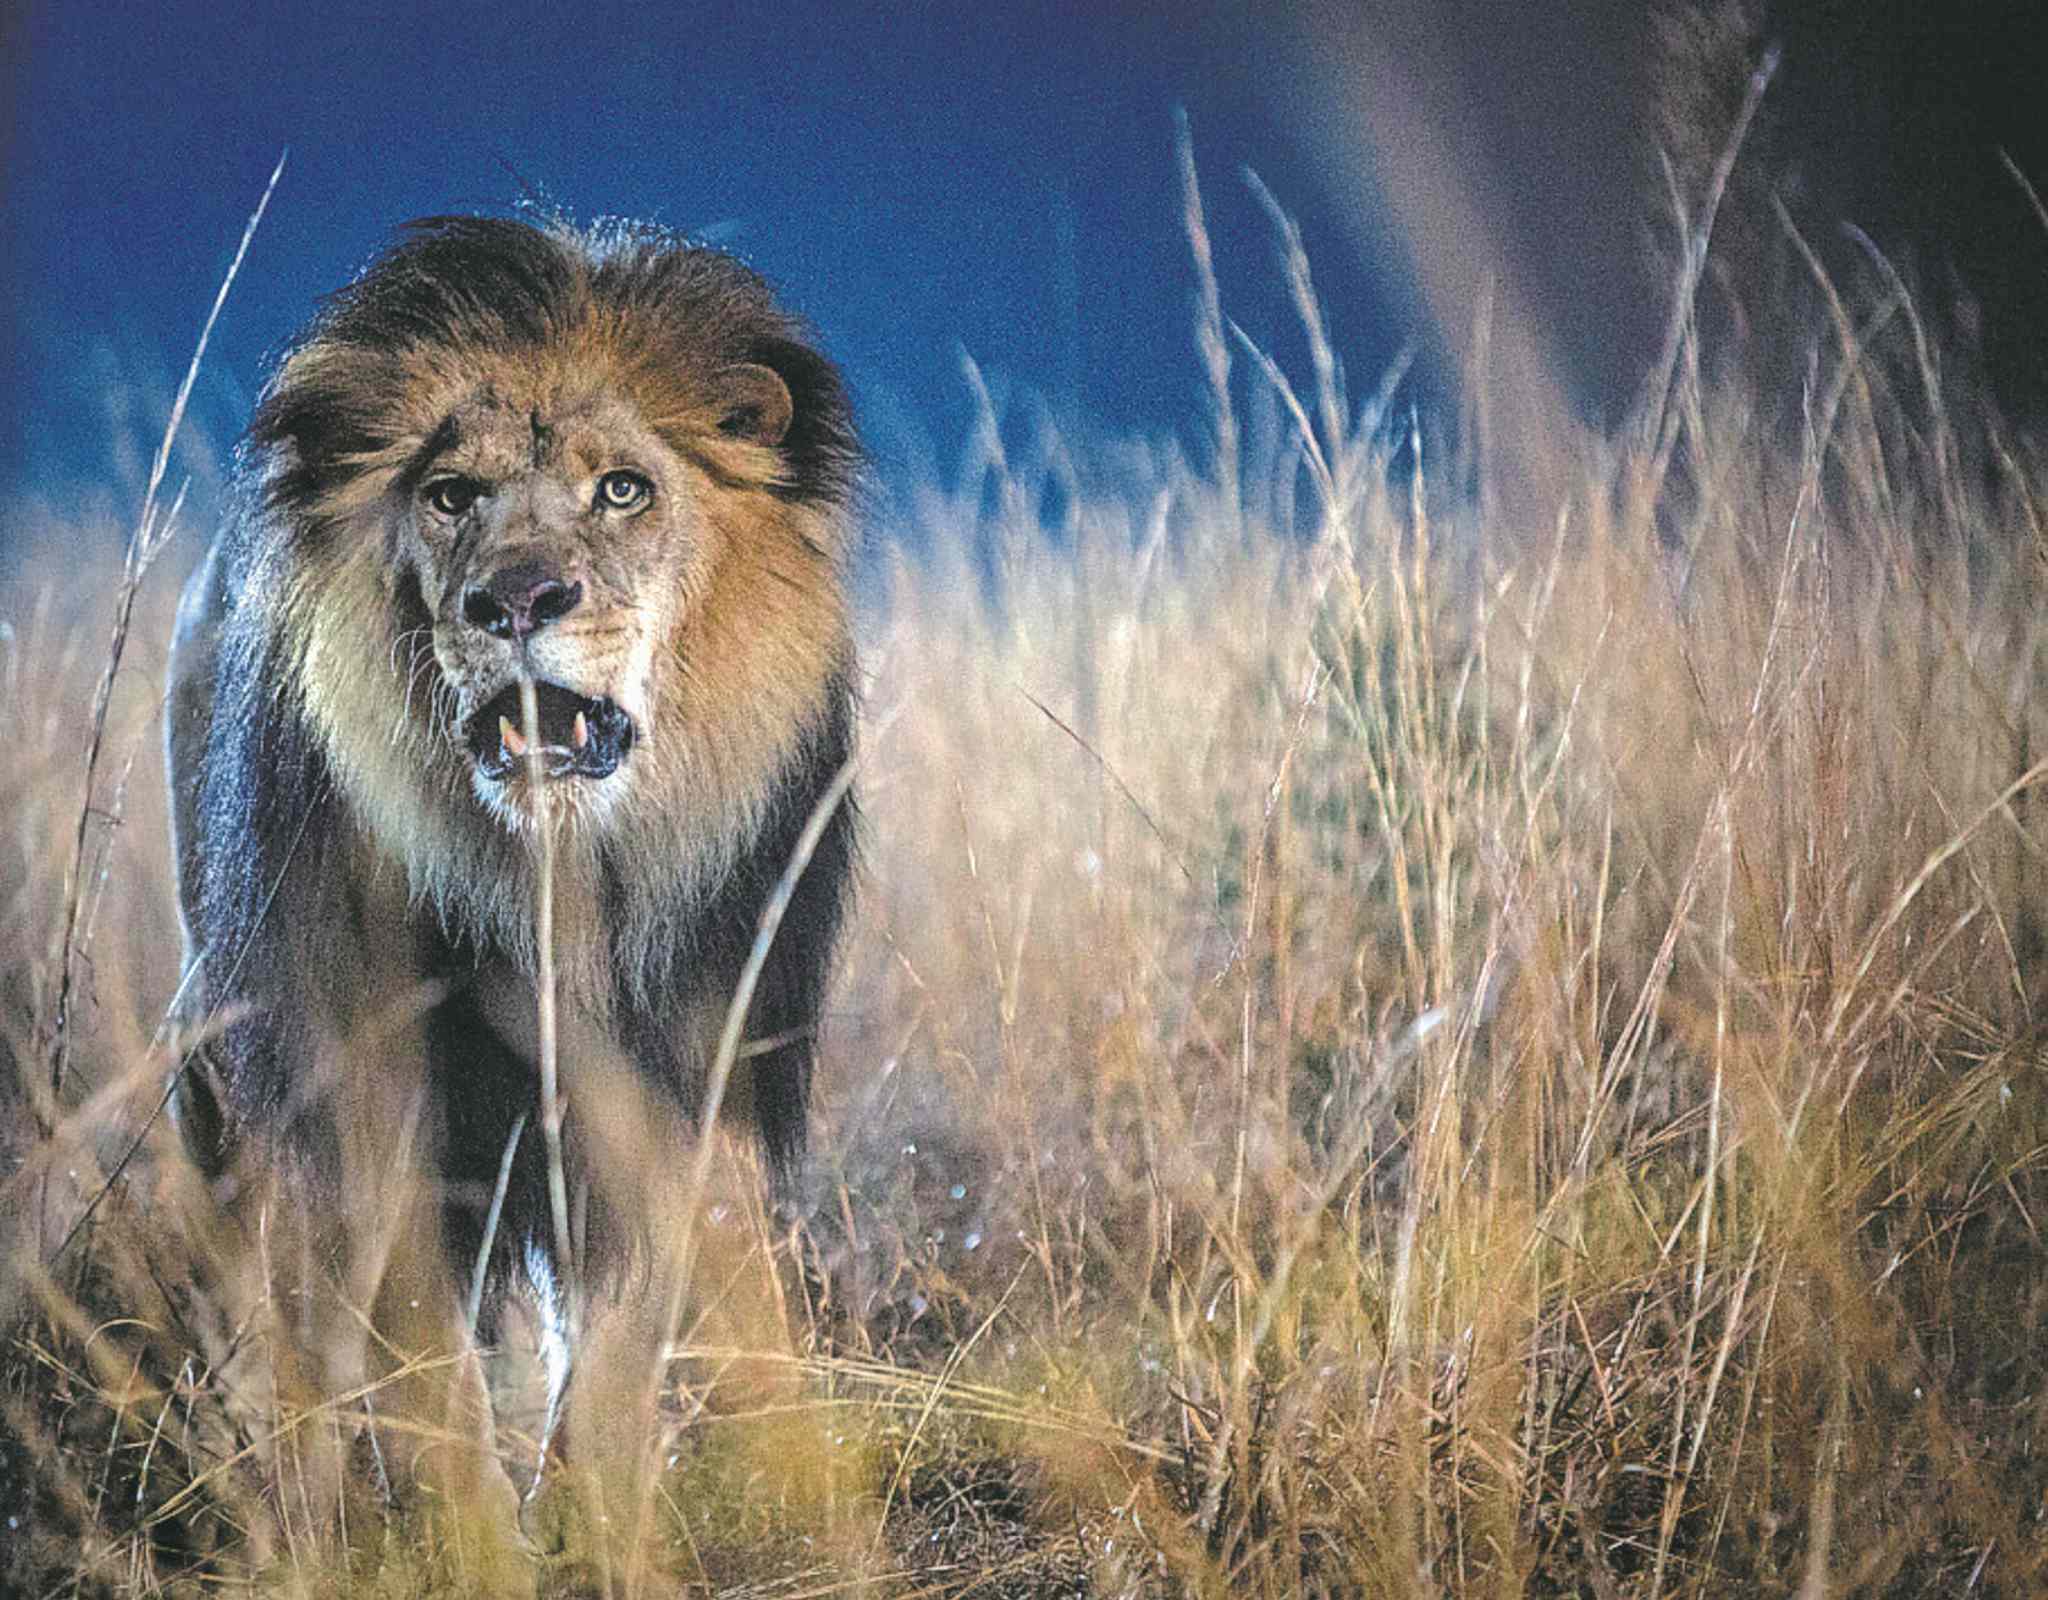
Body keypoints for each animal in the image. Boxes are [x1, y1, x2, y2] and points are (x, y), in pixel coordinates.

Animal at [165, 214, 859, 1592]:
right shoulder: (368, 1079)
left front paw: (600, 1530)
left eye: (624, 490)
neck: (553, 877)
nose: (519, 601)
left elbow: (620, 1346)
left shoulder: (675, 1063)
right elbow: (422, 1368)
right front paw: (478, 1548)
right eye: (451, 497)